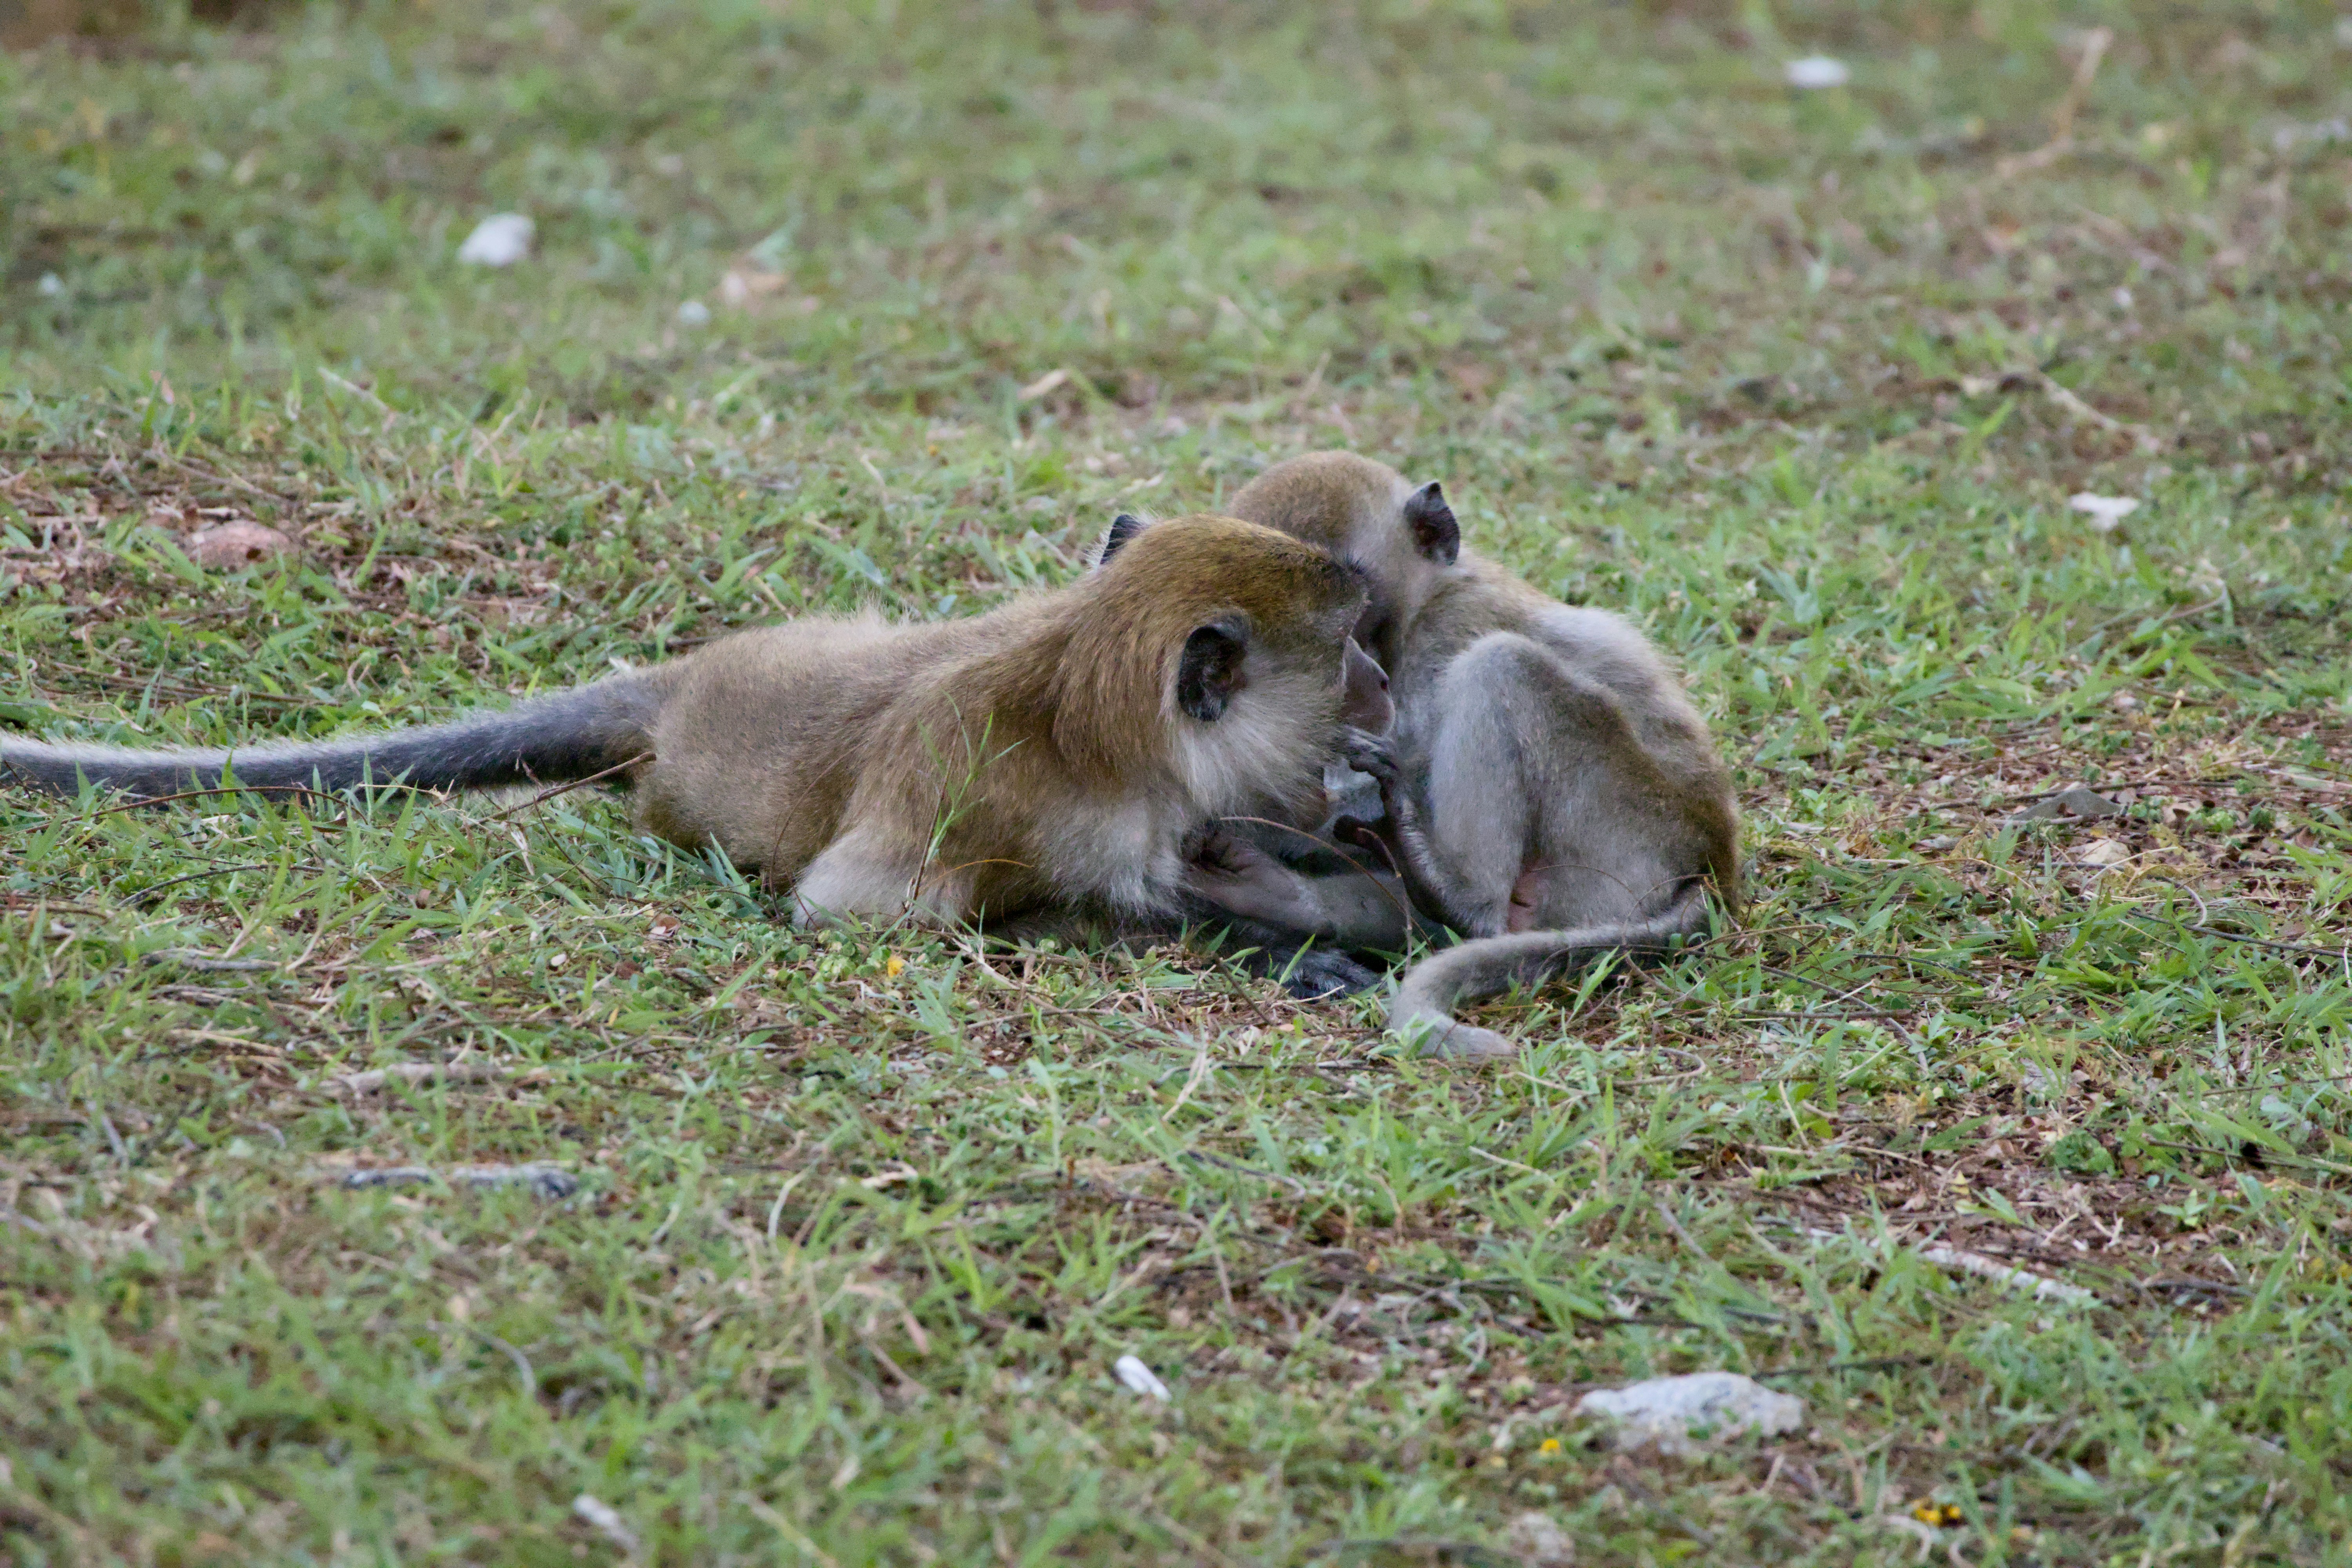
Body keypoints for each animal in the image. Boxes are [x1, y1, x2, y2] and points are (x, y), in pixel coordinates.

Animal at [1208, 451, 1742, 1061]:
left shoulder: (1438, 640)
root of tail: (1712, 859)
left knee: (1501, 664)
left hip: (1629, 824)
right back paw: (1291, 900)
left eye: (1352, 597)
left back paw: (1459, 895)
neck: (1424, 605)